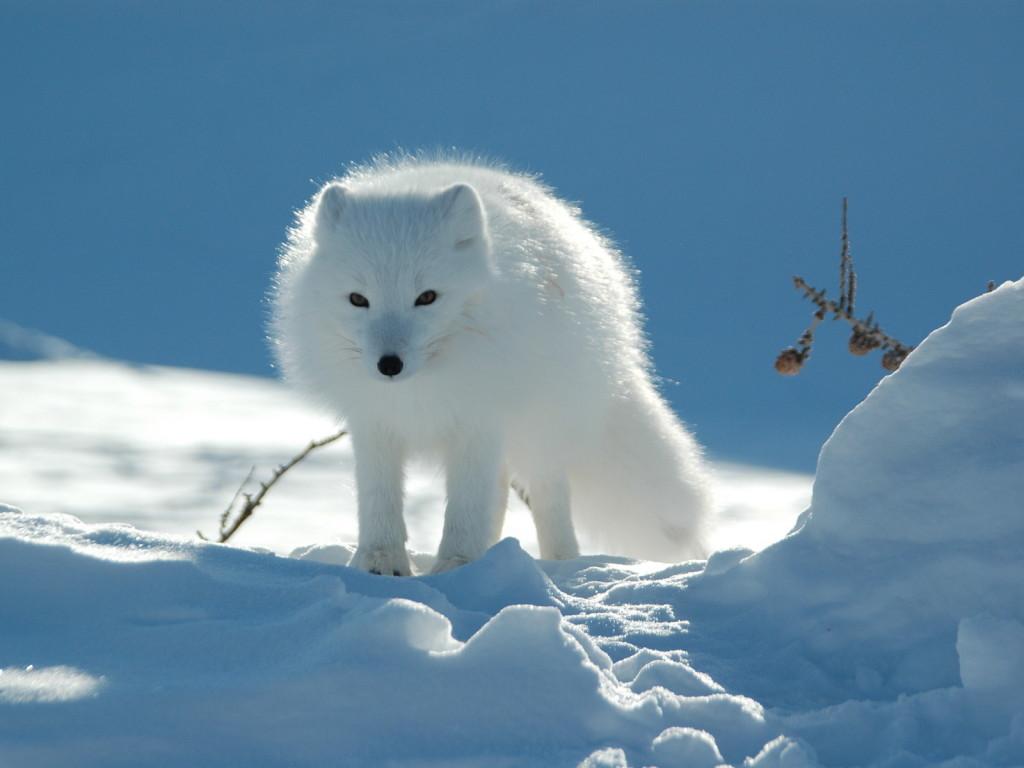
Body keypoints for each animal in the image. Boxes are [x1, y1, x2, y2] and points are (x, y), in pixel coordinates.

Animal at [271, 155, 711, 575]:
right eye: (358, 299)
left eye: (427, 297)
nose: (389, 365)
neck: (421, 389)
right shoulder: (374, 423)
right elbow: (379, 500)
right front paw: (380, 562)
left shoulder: (479, 420)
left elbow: (466, 507)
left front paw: (457, 565)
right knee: (498, 495)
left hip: (541, 428)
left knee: (547, 496)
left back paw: (559, 564)